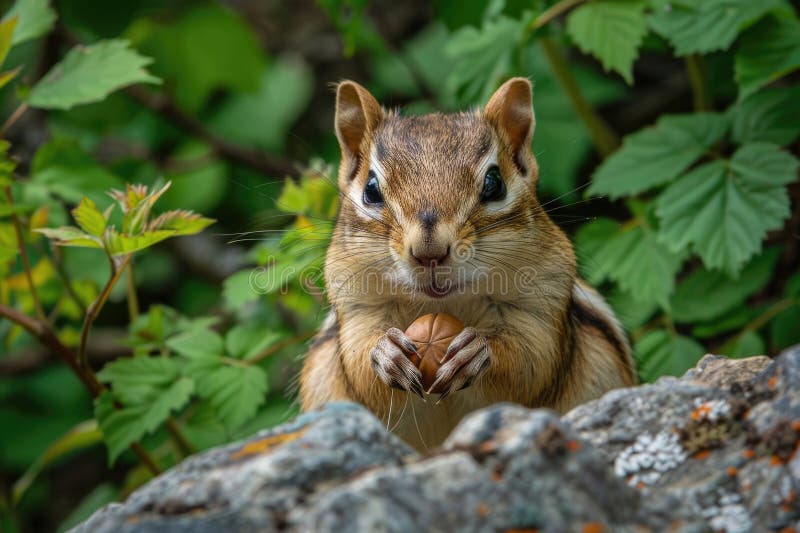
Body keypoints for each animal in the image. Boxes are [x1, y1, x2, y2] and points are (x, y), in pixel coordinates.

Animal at [299, 78, 636, 450]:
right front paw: (385, 354)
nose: (429, 251)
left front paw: (477, 352)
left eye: (494, 183)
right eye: (371, 189)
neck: (447, 301)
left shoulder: (543, 302)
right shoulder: (357, 308)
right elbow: (360, 368)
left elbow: (531, 362)